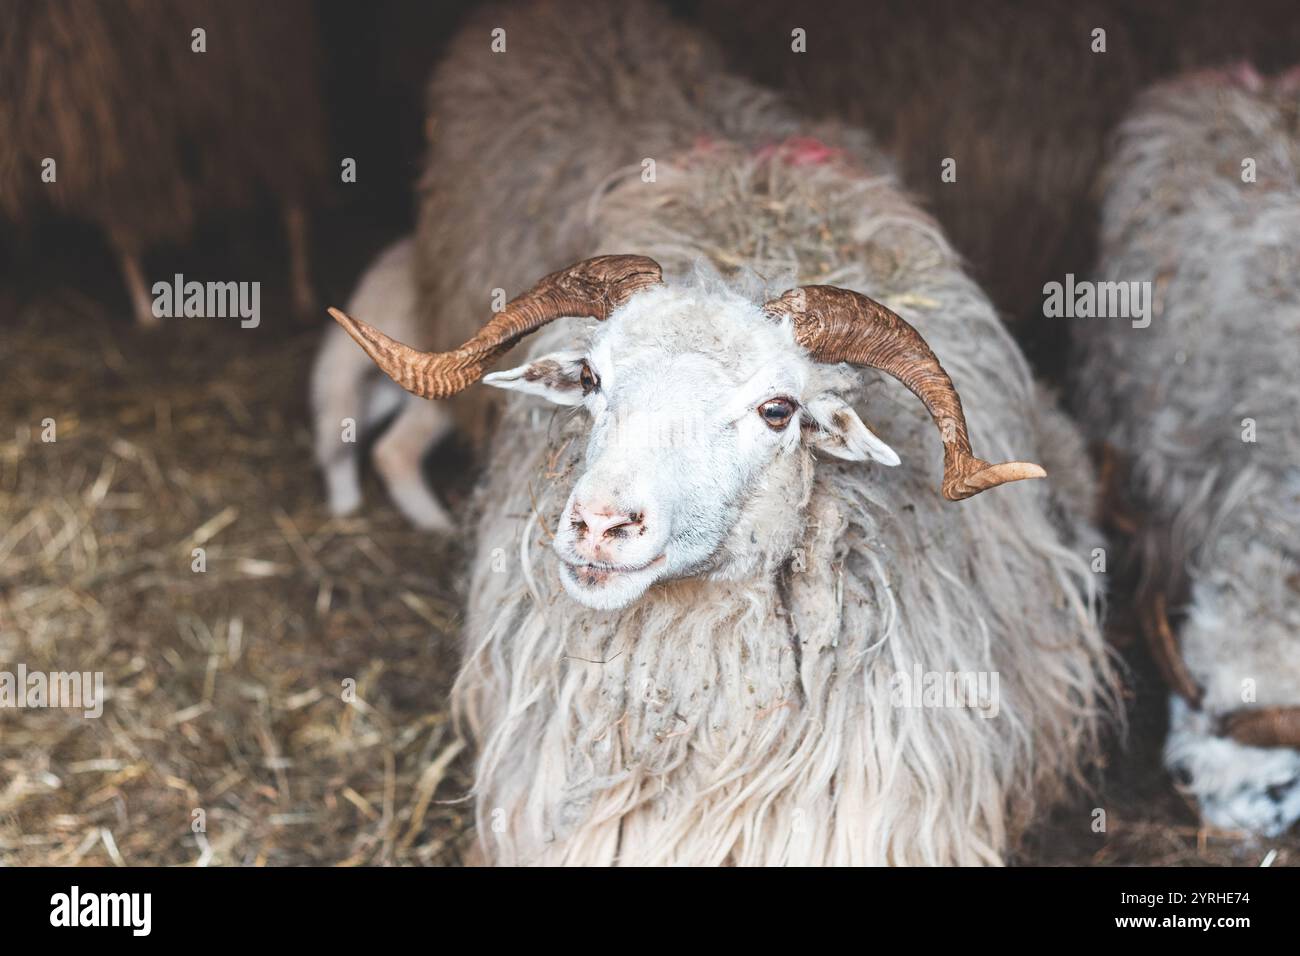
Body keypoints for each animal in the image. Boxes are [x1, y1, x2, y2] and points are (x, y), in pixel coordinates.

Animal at [0, 0, 327, 326]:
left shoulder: (116, 132)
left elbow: (124, 229)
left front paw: (147, 312)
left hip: (270, 93)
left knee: (292, 197)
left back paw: (302, 292)